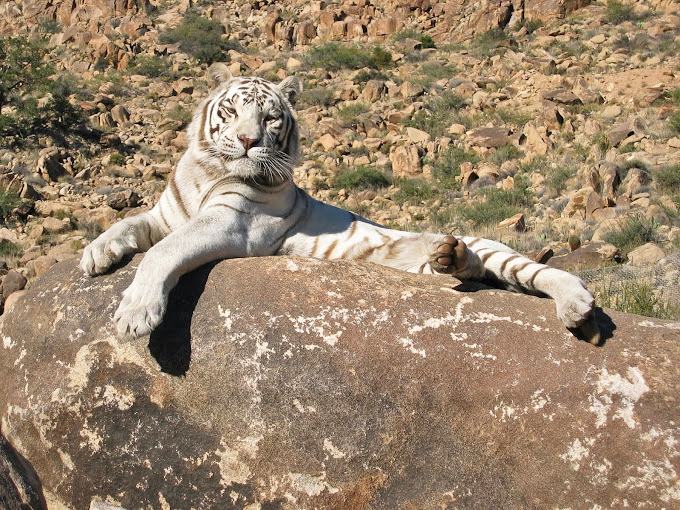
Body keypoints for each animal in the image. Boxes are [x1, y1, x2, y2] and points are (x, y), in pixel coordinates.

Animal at [80, 63, 599, 344]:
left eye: (270, 118)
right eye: (232, 110)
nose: (248, 141)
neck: (208, 170)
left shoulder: (231, 225)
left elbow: (162, 252)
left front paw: (135, 314)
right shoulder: (166, 214)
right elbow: (127, 225)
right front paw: (95, 254)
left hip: (502, 252)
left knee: (545, 273)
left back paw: (576, 308)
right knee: (465, 271)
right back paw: (447, 256)